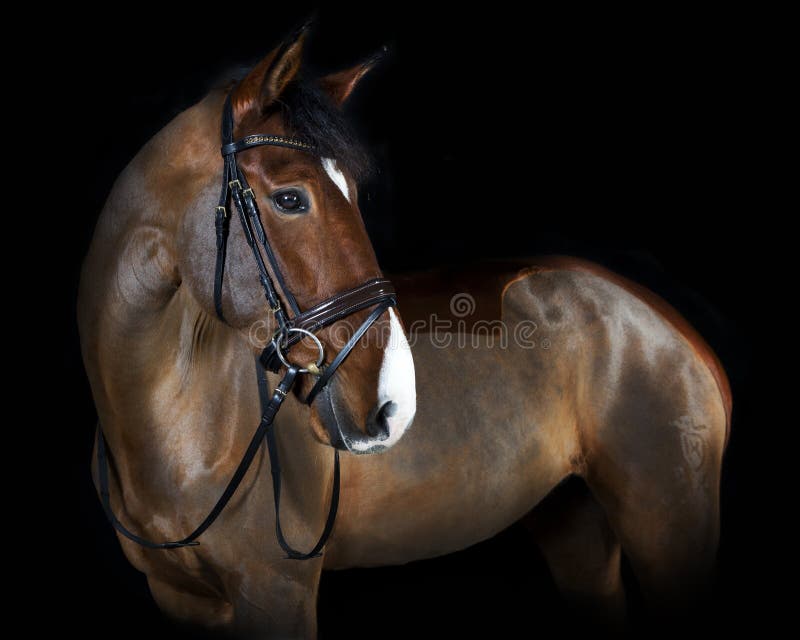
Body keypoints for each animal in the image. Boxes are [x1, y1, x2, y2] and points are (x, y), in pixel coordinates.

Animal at [79, 29, 730, 638]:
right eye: (289, 198)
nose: (394, 404)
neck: (174, 422)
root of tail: (667, 321)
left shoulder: (277, 594)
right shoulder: (183, 601)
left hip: (670, 529)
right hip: (575, 525)